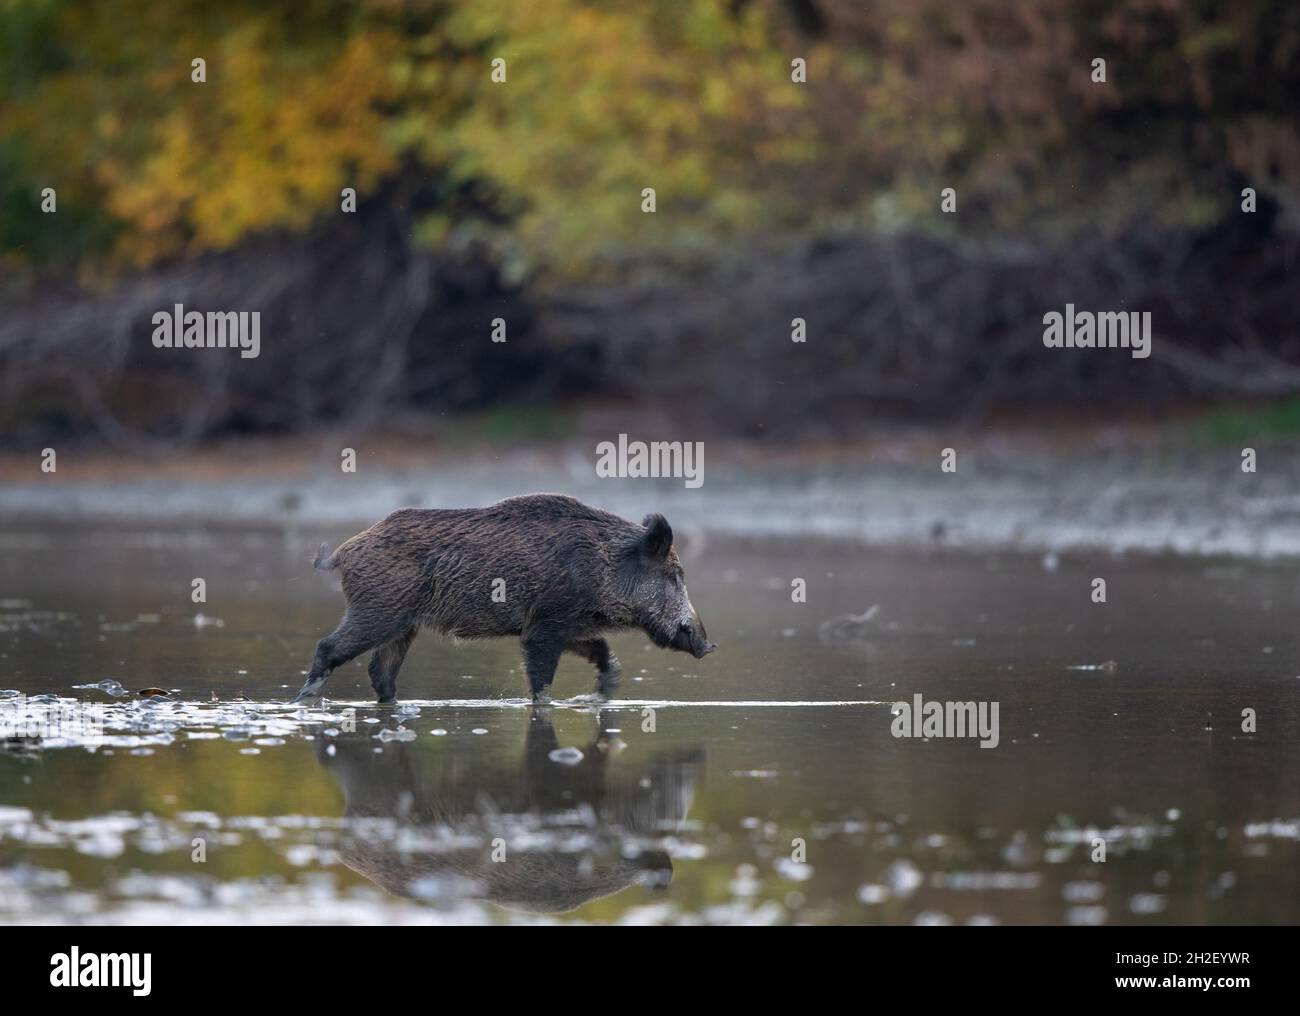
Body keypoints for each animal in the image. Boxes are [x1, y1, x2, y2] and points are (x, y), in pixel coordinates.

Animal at [290, 494, 715, 704]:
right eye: (674, 575)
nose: (708, 645)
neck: (603, 563)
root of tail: (343, 552)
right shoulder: (545, 626)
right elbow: (540, 681)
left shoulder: (566, 626)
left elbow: (602, 652)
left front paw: (603, 693)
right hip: (377, 613)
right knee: (329, 647)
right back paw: (302, 703)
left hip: (403, 626)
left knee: (381, 672)